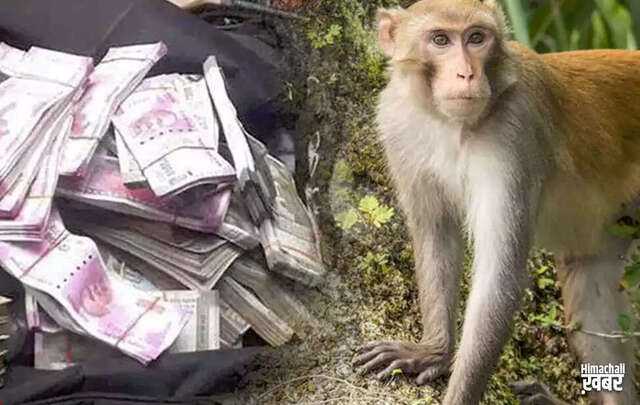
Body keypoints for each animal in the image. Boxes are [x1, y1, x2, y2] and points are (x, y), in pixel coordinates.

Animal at [353, 1, 640, 404]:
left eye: (476, 37)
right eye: (440, 40)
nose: (466, 73)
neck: (450, 124)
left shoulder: (516, 130)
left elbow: (498, 276)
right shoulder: (397, 123)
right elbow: (437, 235)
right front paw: (432, 351)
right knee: (589, 287)